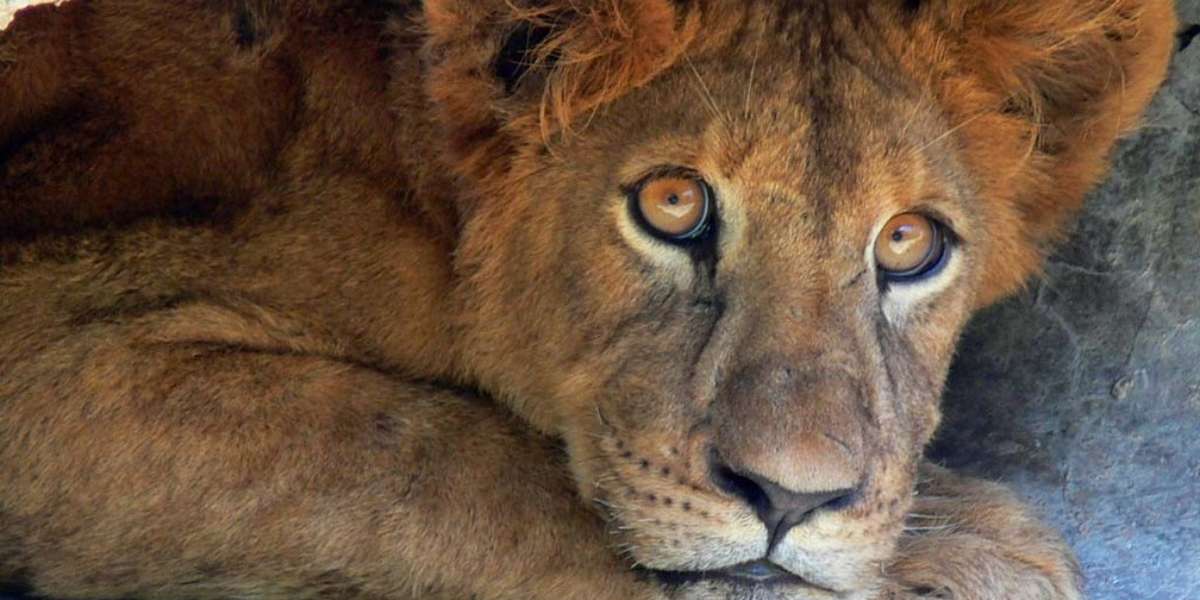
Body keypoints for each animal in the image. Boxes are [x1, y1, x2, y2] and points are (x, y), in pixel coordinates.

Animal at [0, 1, 1178, 599]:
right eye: (672, 203)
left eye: (907, 242)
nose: (789, 499)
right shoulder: (45, 349)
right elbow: (426, 453)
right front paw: (963, 552)